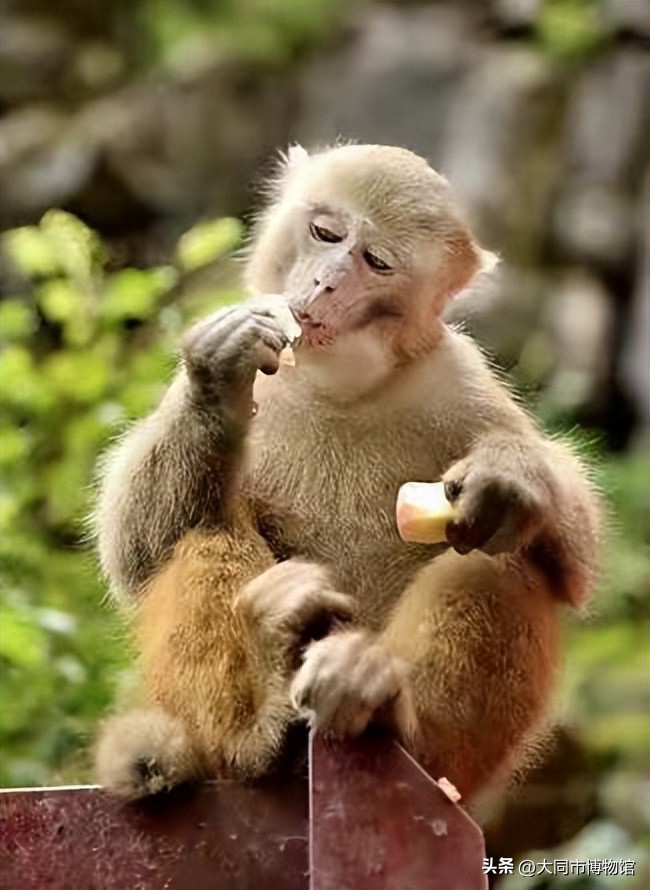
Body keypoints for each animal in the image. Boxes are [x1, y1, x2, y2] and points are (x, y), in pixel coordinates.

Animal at [94, 144, 602, 802]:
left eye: (376, 262)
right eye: (326, 233)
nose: (326, 281)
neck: (340, 386)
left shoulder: (457, 377)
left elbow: (574, 565)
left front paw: (512, 478)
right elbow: (138, 555)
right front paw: (216, 377)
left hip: (460, 767)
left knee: (502, 560)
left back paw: (388, 716)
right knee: (205, 531)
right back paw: (260, 726)